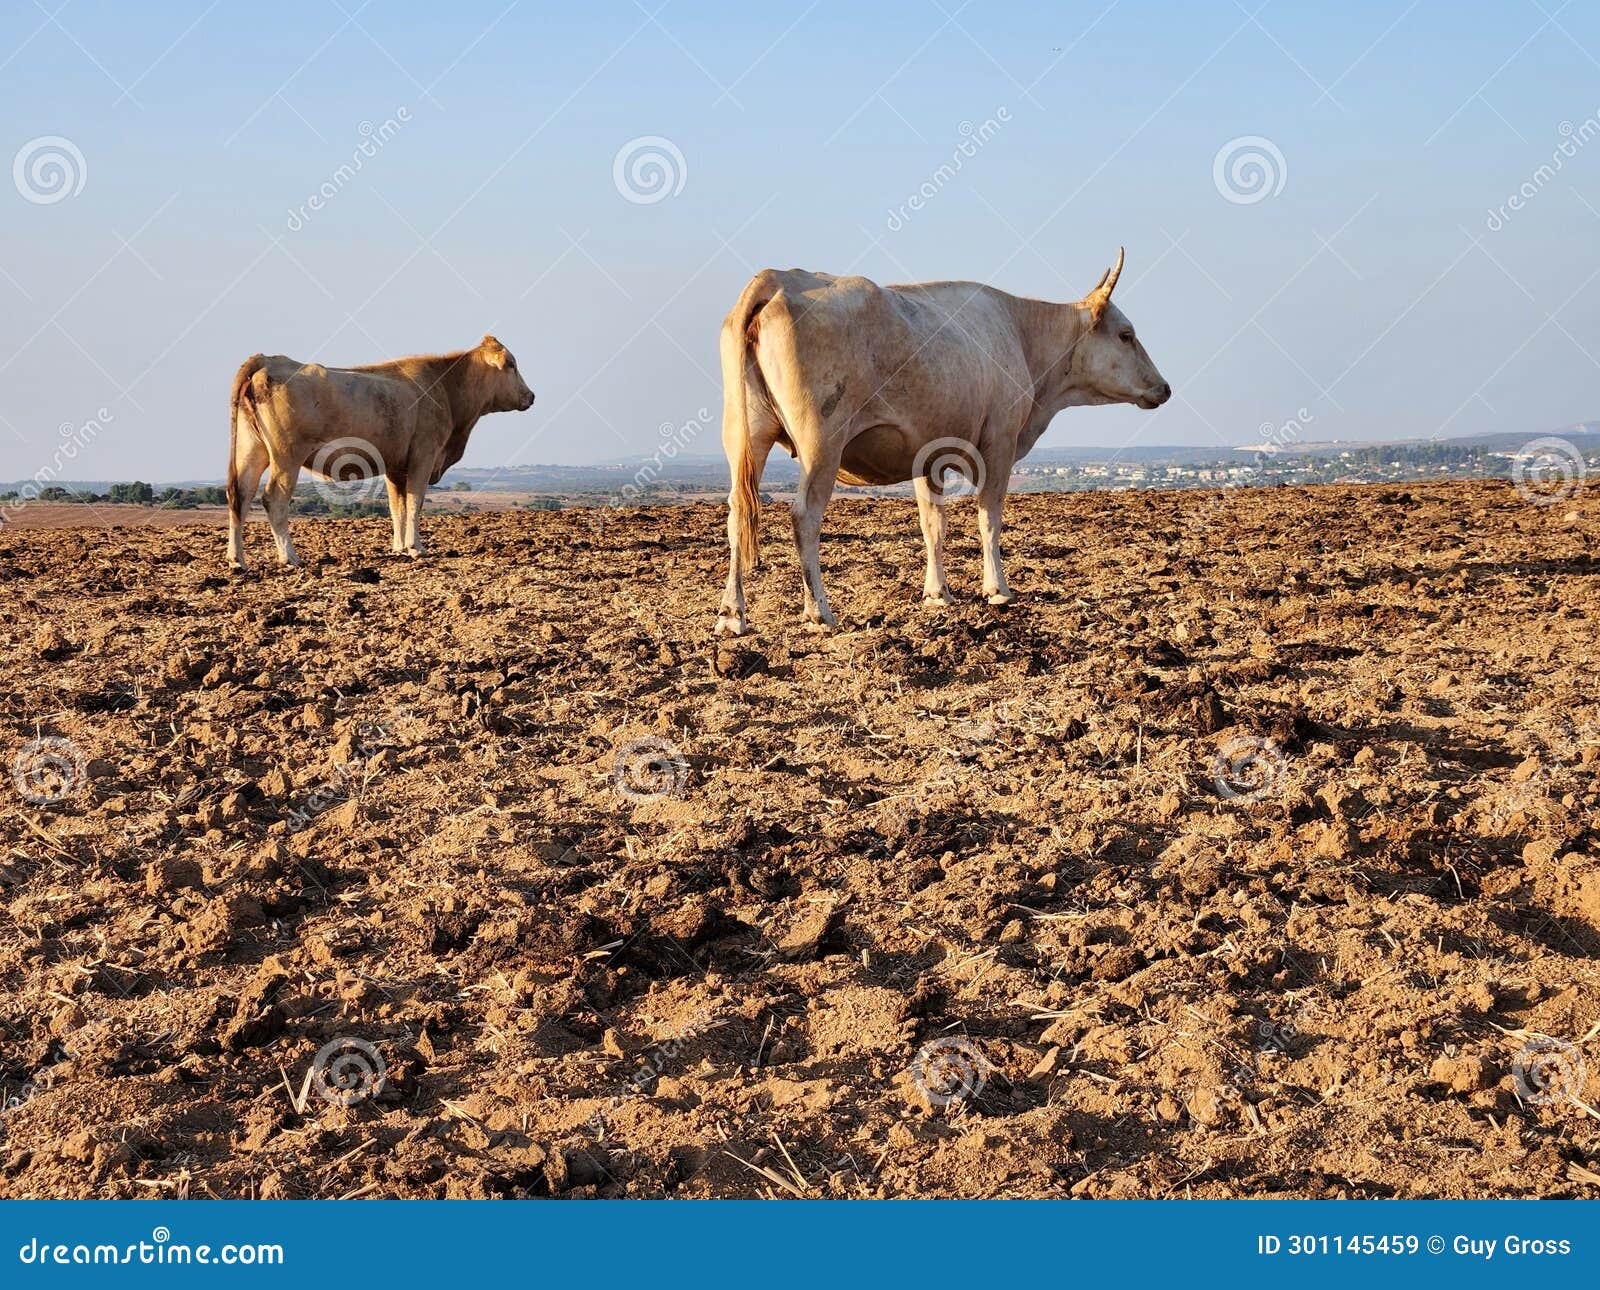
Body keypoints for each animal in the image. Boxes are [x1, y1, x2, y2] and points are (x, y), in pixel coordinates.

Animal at [226, 335, 534, 571]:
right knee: (274, 499)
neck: (446, 389)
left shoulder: (396, 466)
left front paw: (399, 547)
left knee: (240, 496)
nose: (530, 396)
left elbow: (397, 506)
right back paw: (289, 557)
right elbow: (415, 502)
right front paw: (416, 547)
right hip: (287, 456)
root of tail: (269, 359)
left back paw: (237, 560)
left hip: (251, 451)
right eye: (511, 364)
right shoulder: (424, 455)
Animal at [714, 249, 1170, 635]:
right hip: (821, 440)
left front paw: (938, 594)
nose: (1164, 388)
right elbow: (989, 516)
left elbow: (933, 523)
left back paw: (732, 615)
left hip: (743, 434)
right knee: (804, 514)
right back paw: (819, 612)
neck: (1021, 331)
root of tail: (777, 278)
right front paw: (998, 589)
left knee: (737, 513)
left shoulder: (925, 453)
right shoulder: (1001, 439)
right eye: (1126, 334)